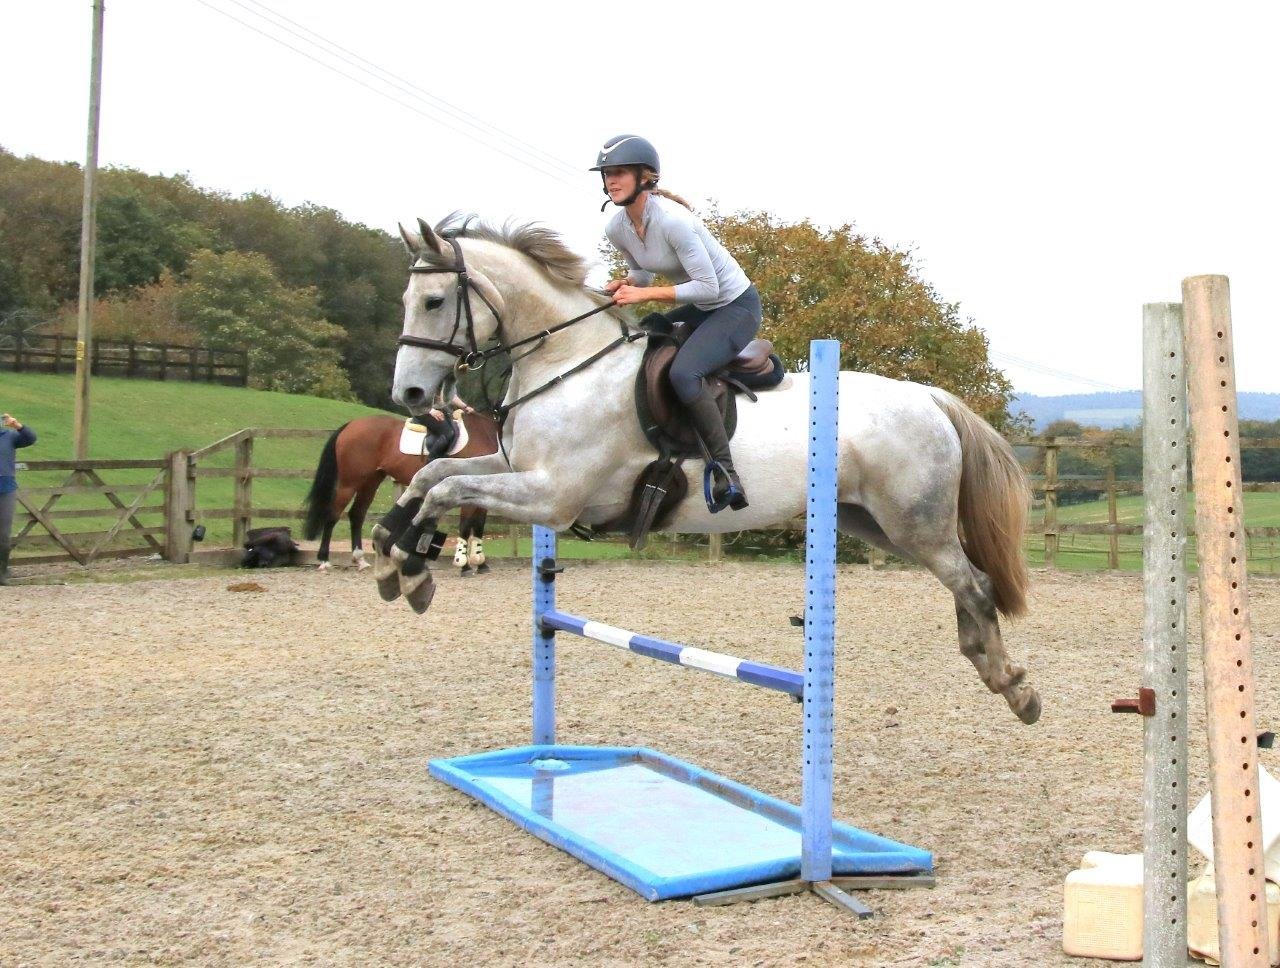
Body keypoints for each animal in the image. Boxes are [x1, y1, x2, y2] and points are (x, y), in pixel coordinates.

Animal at [302, 412, 500, 574]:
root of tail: (351, 425)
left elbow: (479, 525)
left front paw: (481, 564)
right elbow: (466, 525)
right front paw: (464, 565)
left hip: (370, 482)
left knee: (357, 515)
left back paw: (360, 560)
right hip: (349, 483)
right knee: (333, 516)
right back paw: (324, 560)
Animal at [372, 216, 1040, 725]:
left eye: (434, 302)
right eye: (408, 301)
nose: (408, 394)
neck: (569, 364)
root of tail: (930, 397)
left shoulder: (553, 498)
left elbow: (448, 487)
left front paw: (412, 571)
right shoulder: (520, 472)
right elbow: (431, 479)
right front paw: (391, 556)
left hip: (914, 522)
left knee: (975, 583)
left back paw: (1015, 687)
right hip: (876, 523)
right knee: (967, 580)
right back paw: (993, 668)